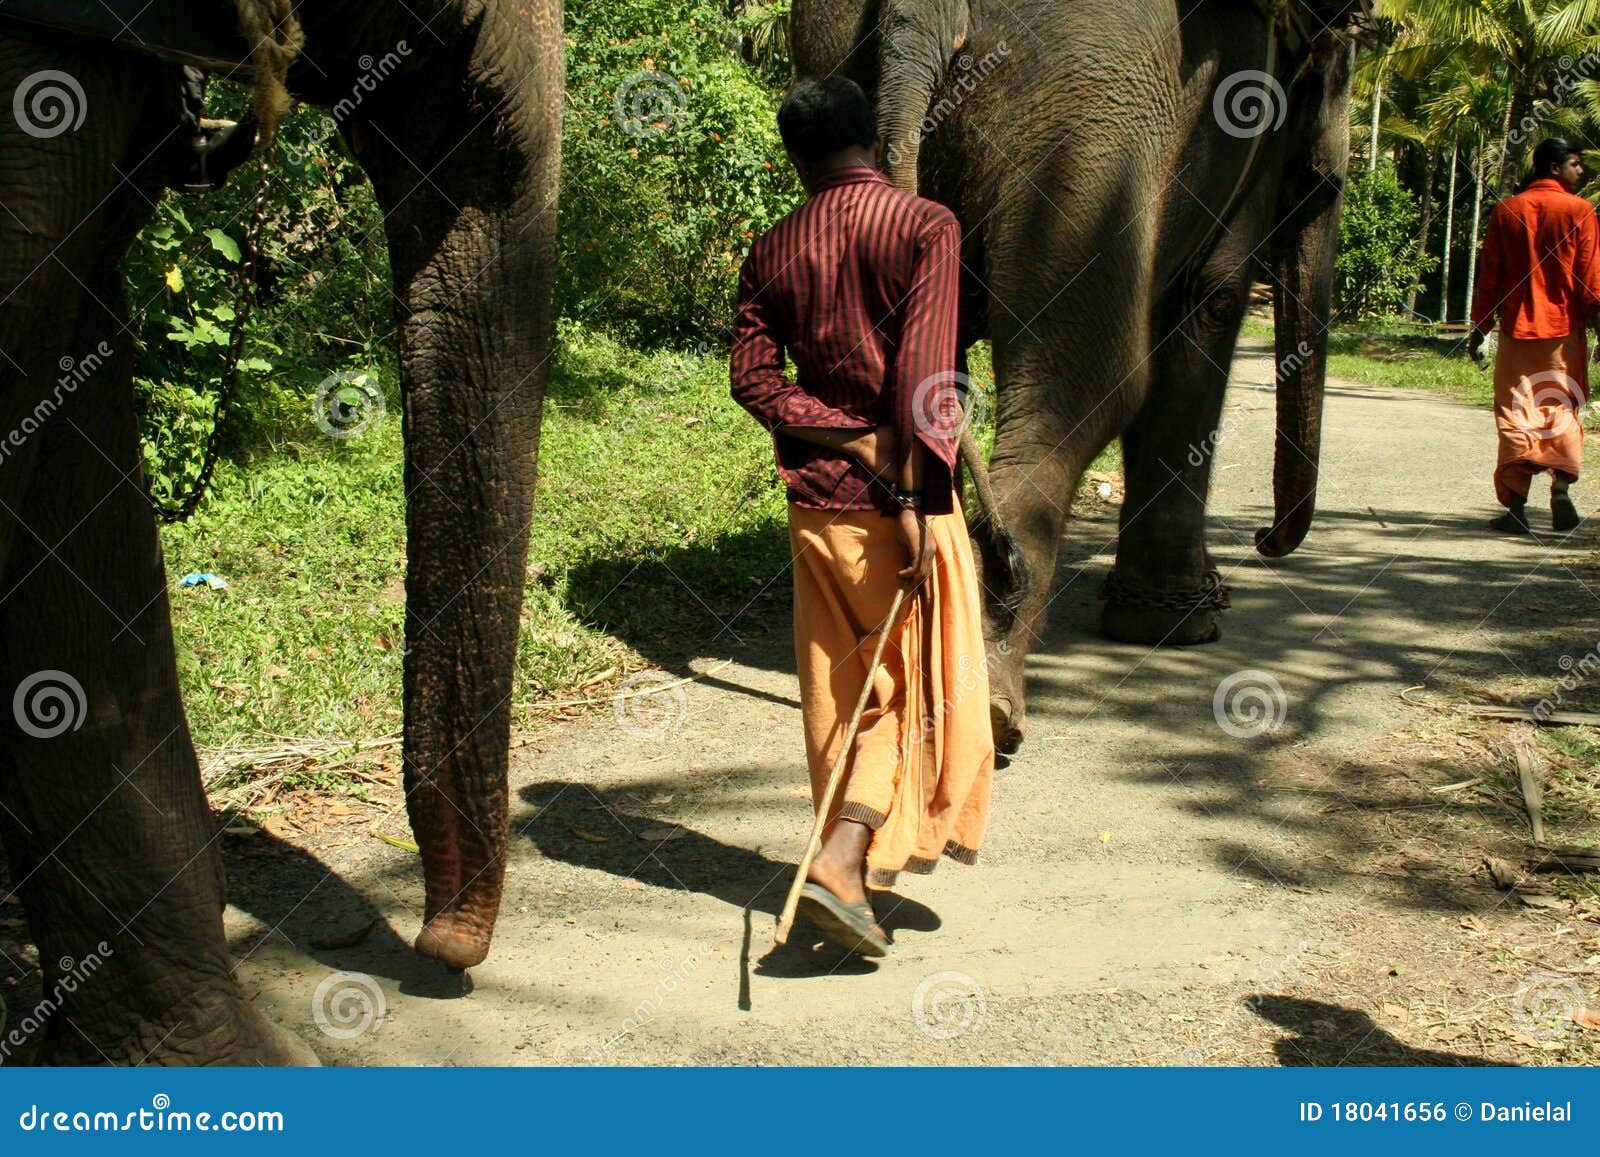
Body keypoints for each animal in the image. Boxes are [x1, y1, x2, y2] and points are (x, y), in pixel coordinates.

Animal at [790, 0, 1362, 751]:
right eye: (1324, 185)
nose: (1266, 542)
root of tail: (921, 19)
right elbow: (1210, 302)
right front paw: (1182, 628)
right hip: (1088, 140)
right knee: (1093, 390)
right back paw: (990, 704)